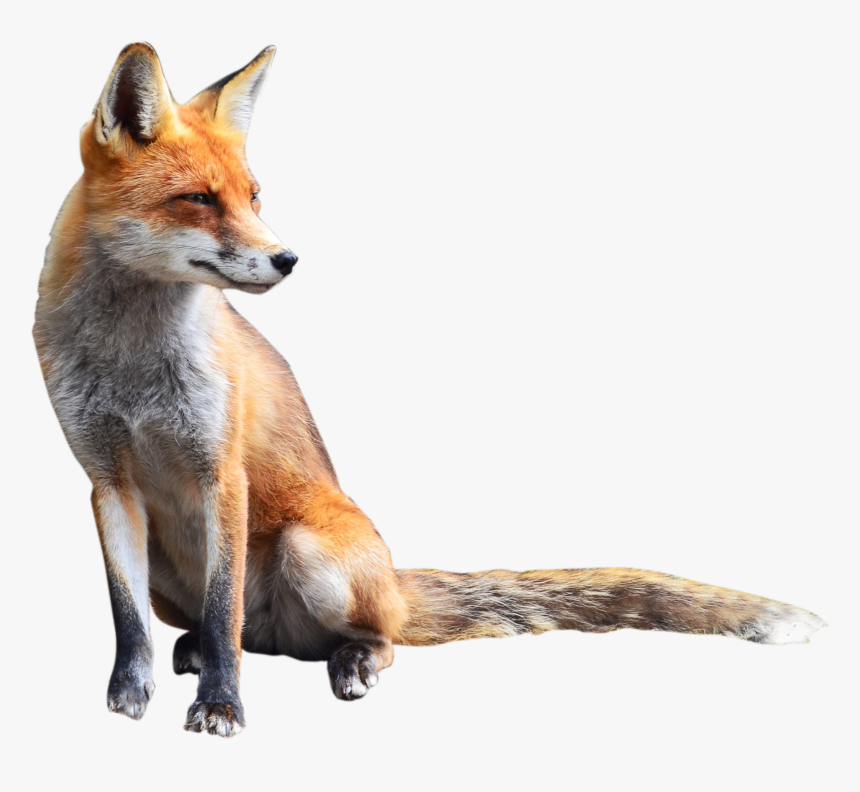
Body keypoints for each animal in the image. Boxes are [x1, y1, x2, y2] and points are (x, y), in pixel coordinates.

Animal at [34, 43, 826, 738]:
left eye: (255, 196)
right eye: (198, 199)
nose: (288, 258)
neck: (132, 365)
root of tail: (390, 578)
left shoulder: (221, 474)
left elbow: (223, 605)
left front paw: (222, 708)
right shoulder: (108, 483)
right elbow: (127, 616)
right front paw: (128, 696)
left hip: (309, 551)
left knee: (359, 637)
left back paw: (350, 662)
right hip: (176, 577)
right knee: (238, 633)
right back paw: (200, 651)